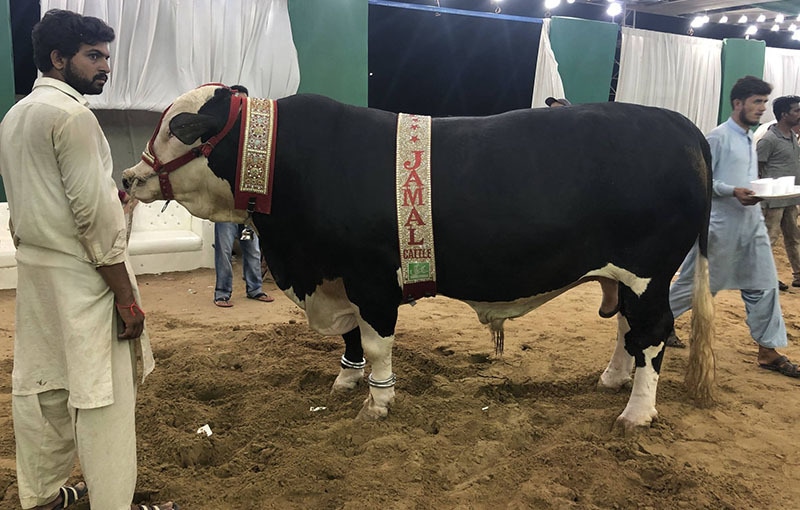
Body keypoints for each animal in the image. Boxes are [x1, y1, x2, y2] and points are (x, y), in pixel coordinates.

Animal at [122, 84, 715, 431]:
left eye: (181, 127)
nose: (129, 177)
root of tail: (679, 124)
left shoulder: (372, 278)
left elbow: (376, 343)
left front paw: (377, 403)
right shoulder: (336, 278)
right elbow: (350, 338)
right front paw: (346, 382)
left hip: (648, 272)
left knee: (653, 333)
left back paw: (636, 412)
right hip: (624, 277)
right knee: (627, 330)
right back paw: (612, 380)